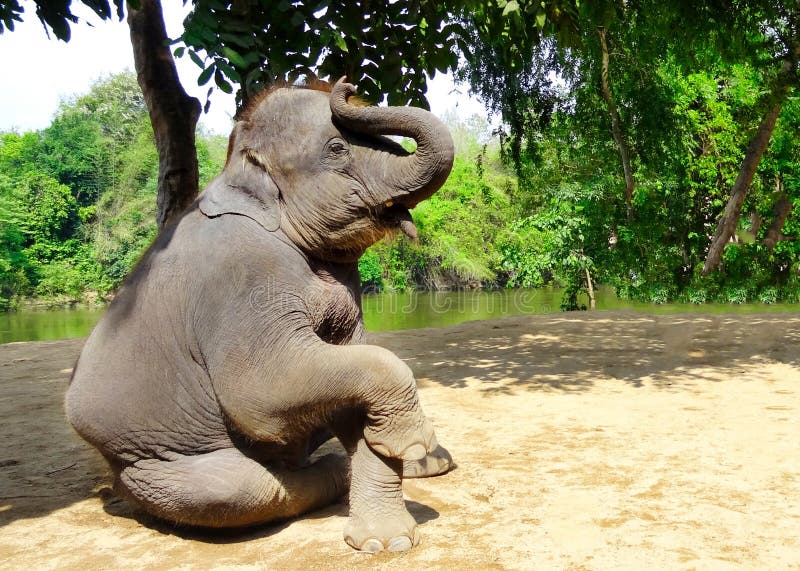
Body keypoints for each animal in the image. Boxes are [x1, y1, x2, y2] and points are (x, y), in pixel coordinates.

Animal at [64, 78, 455, 553]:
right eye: (337, 148)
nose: (345, 85)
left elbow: (348, 377)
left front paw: (387, 540)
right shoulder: (241, 277)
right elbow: (260, 392)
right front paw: (411, 444)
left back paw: (425, 463)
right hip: (145, 459)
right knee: (237, 488)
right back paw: (335, 472)